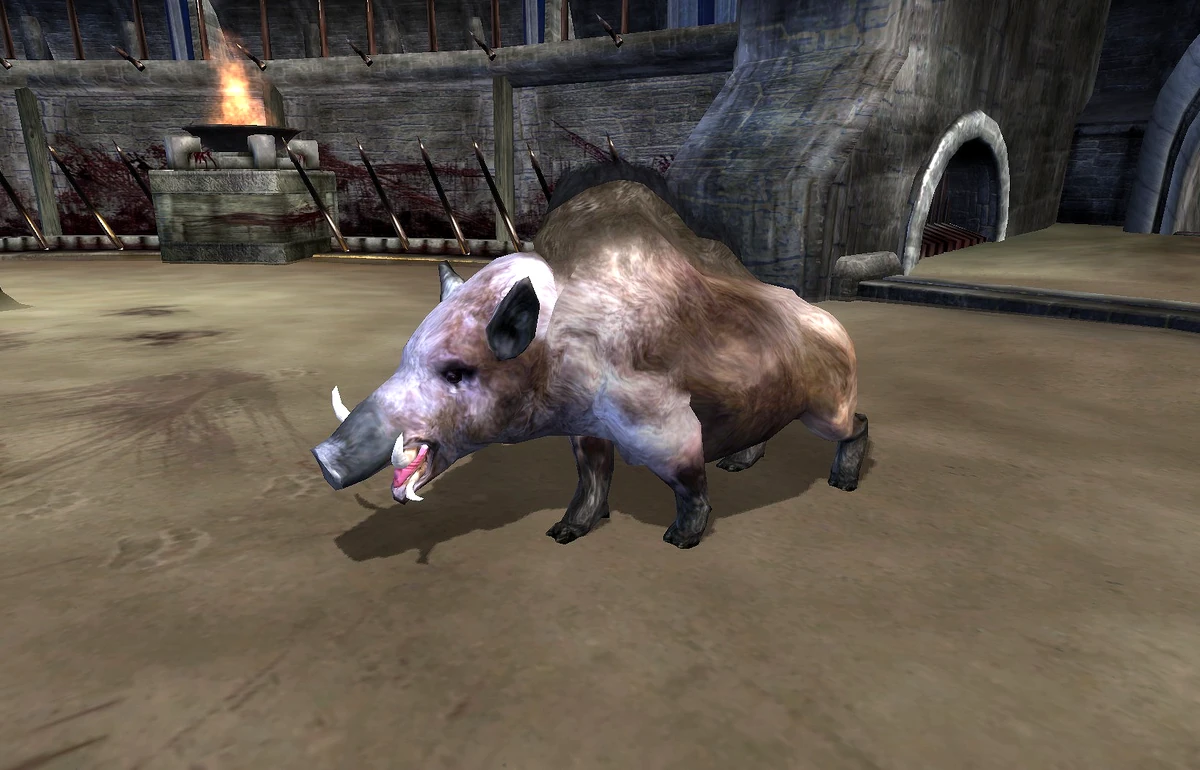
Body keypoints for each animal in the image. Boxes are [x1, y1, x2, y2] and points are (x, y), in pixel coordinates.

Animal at [311, 160, 869, 549]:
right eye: (405, 355)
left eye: (456, 372)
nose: (324, 459)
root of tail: (837, 326)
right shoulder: (586, 430)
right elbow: (592, 479)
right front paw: (563, 533)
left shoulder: (664, 423)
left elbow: (688, 483)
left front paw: (679, 540)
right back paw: (740, 463)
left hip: (827, 405)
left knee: (856, 424)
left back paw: (843, 482)